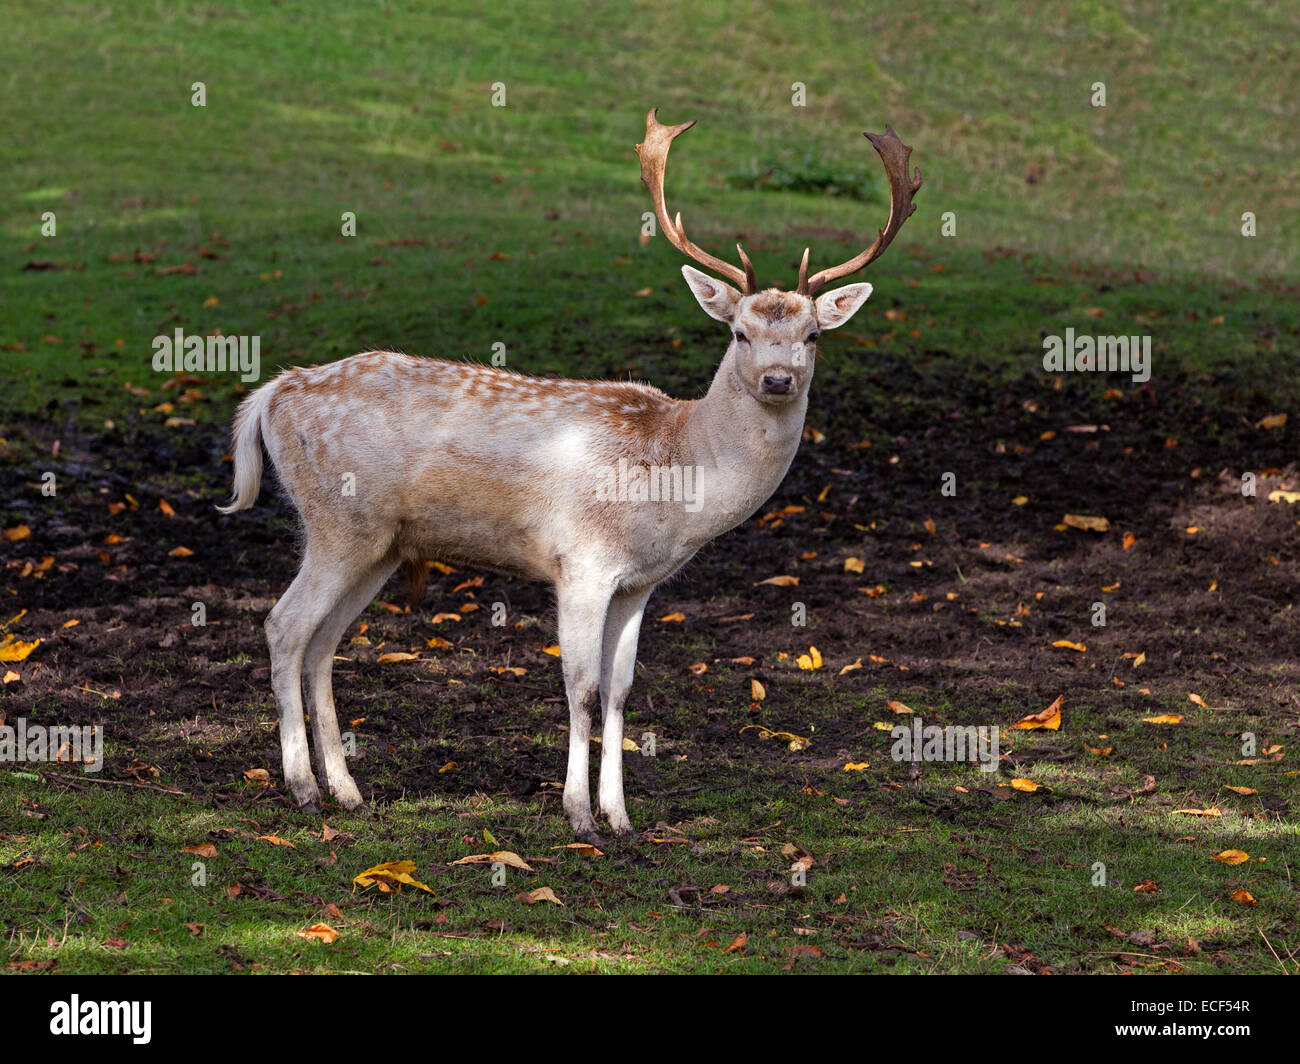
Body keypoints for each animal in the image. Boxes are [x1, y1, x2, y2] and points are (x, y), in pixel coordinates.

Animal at [219, 108, 921, 843]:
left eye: (814, 336)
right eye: (739, 333)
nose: (778, 380)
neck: (677, 473)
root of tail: (272, 394)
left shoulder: (639, 584)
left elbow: (620, 692)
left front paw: (621, 816)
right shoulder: (582, 563)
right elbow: (580, 689)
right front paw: (579, 815)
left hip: (380, 544)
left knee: (323, 642)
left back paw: (348, 792)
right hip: (337, 521)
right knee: (285, 626)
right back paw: (302, 789)